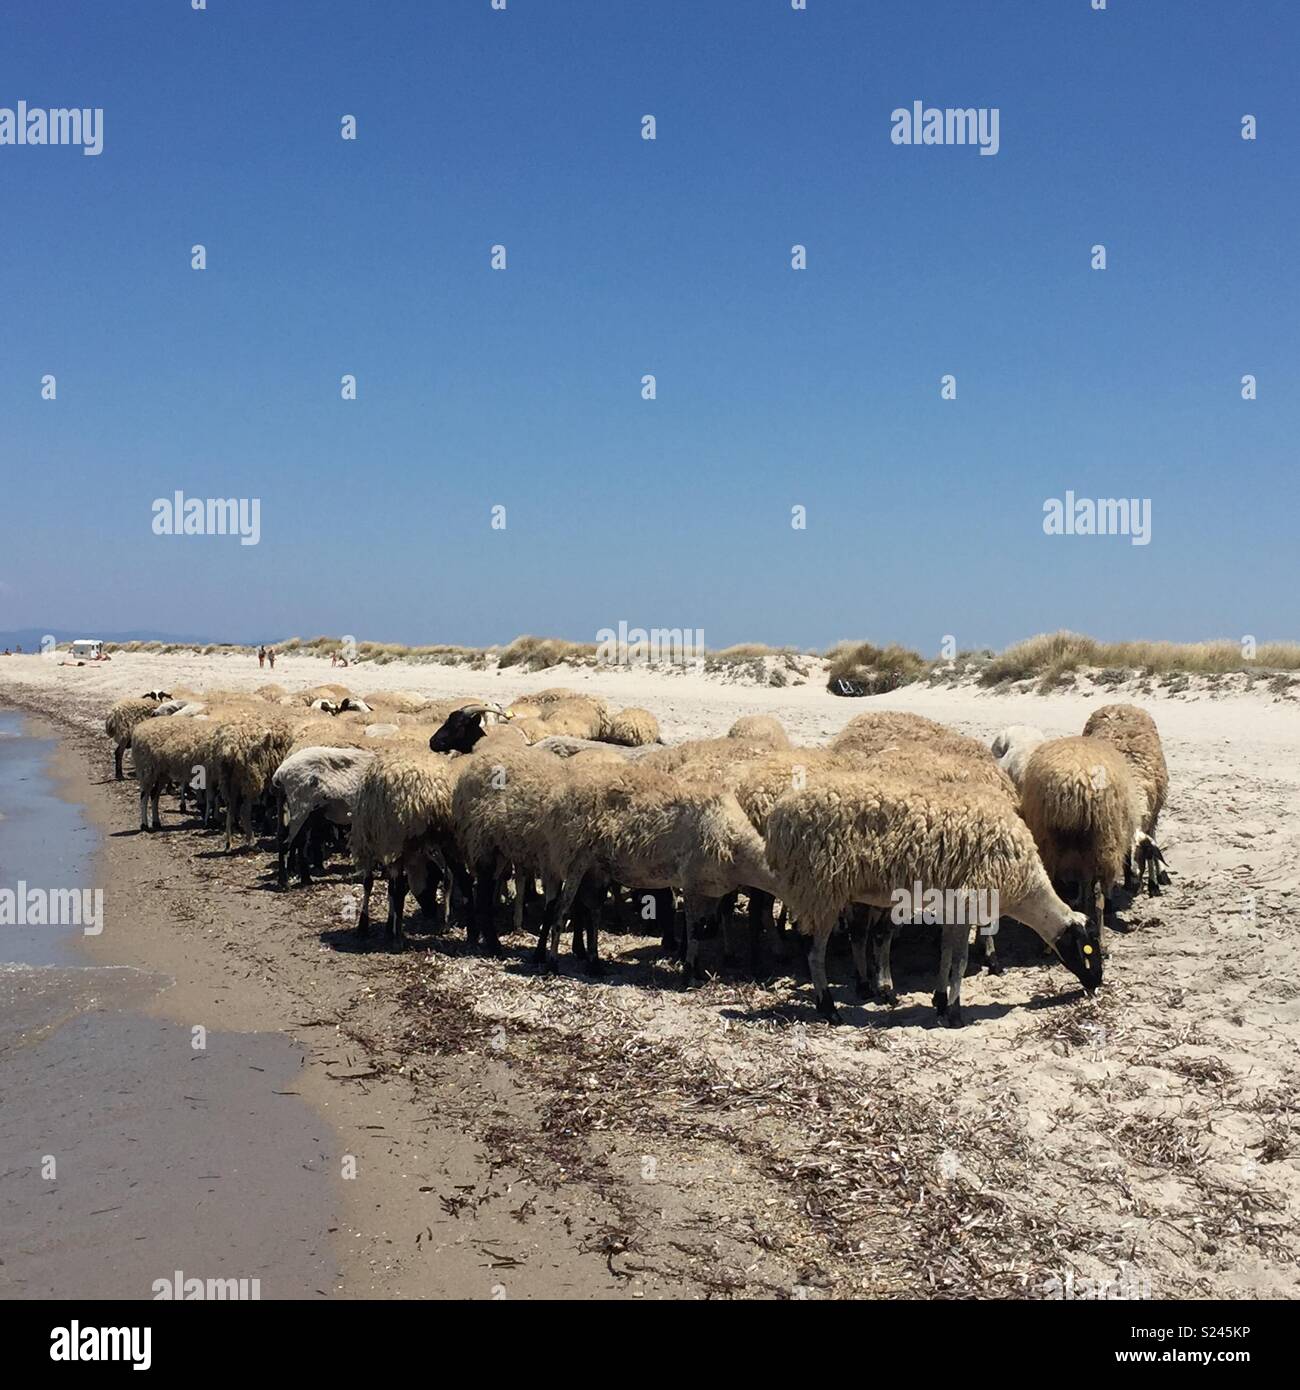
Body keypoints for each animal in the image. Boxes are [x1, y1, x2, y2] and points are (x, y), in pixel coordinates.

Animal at [271, 745, 376, 887]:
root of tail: (280, 773)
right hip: (300, 806)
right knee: (290, 841)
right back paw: (286, 882)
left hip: (293, 808)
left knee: (291, 840)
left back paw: (302, 879)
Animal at [765, 771, 1101, 1025]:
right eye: (1088, 948)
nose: (1097, 983)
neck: (1025, 887)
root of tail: (779, 816)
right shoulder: (970, 902)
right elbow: (961, 961)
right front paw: (954, 1012)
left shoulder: (953, 908)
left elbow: (946, 954)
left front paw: (940, 1001)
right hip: (820, 888)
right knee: (814, 952)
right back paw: (829, 1009)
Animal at [1081, 704, 1170, 894]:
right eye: (1124, 858)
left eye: (1141, 854)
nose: (1135, 883)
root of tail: (1118, 705)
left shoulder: (1151, 816)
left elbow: (1153, 849)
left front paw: (1153, 884)